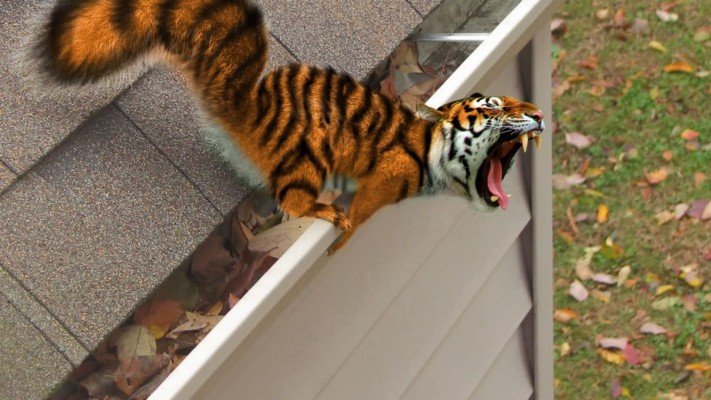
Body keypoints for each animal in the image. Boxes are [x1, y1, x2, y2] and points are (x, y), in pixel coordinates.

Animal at [31, 0, 544, 252]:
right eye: (492, 108)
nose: (539, 118)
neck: (430, 150)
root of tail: (247, 114)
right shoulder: (388, 172)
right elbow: (367, 202)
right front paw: (349, 226)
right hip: (305, 155)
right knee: (293, 200)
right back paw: (322, 209)